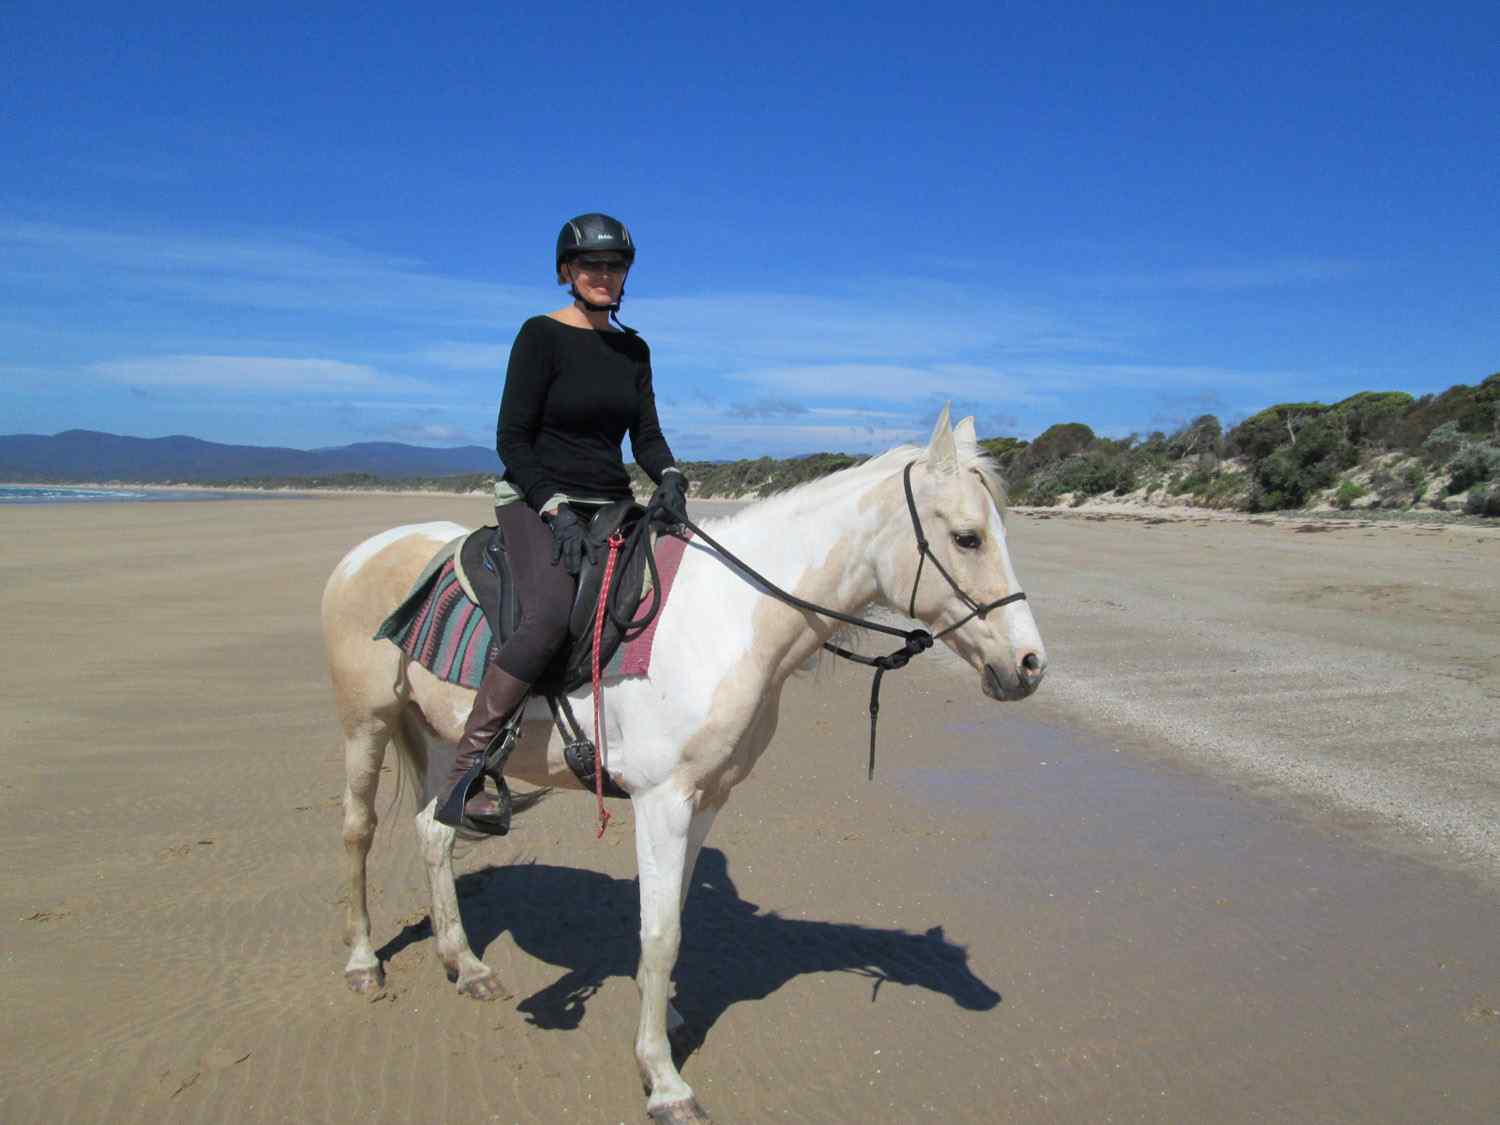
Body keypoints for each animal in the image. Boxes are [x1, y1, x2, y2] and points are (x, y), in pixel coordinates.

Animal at [320, 408, 1047, 1123]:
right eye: (967, 538)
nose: (1031, 665)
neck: (730, 617)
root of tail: (364, 553)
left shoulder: (707, 798)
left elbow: (672, 926)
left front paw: (663, 1022)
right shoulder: (661, 800)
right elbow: (660, 931)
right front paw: (664, 1079)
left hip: (448, 738)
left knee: (434, 833)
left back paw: (466, 964)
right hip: (367, 723)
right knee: (357, 830)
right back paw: (362, 962)